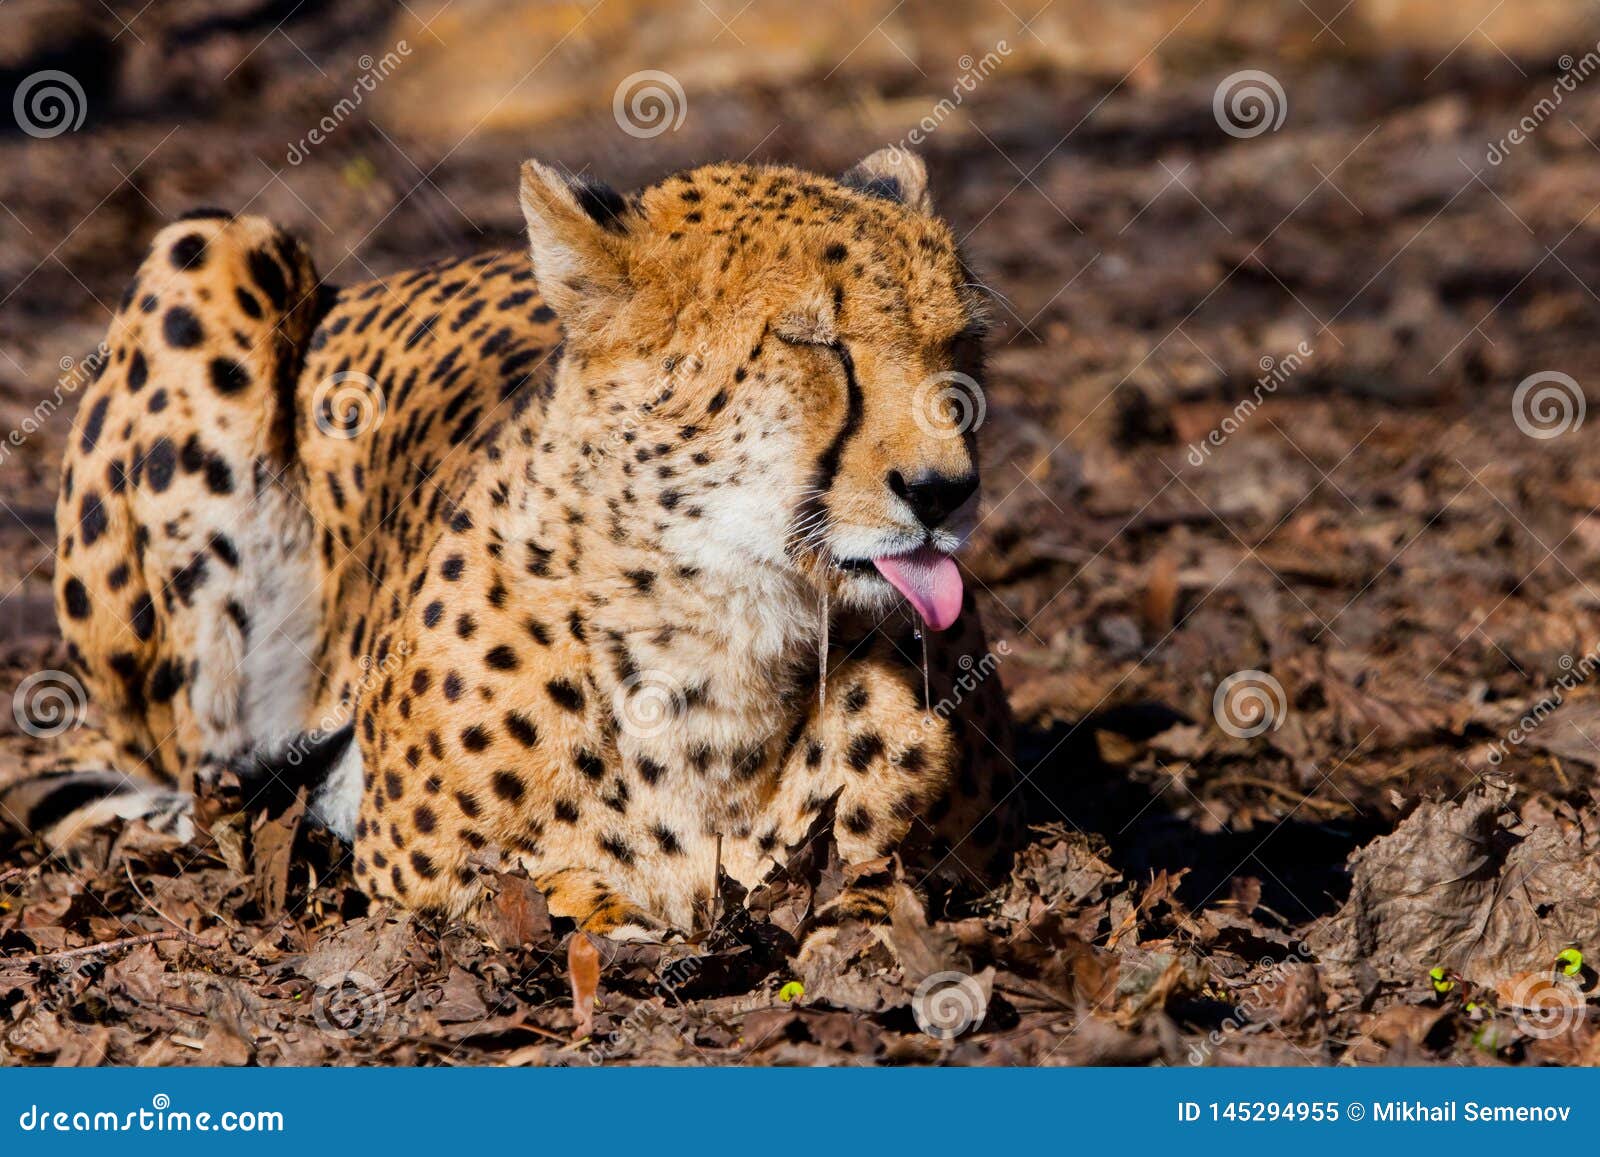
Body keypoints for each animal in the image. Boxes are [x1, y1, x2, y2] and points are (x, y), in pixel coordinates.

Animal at [9, 148, 1019, 942]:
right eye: (816, 342)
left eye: (955, 346)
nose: (947, 490)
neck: (724, 642)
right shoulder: (411, 861)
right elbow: (542, 885)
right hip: (213, 248)